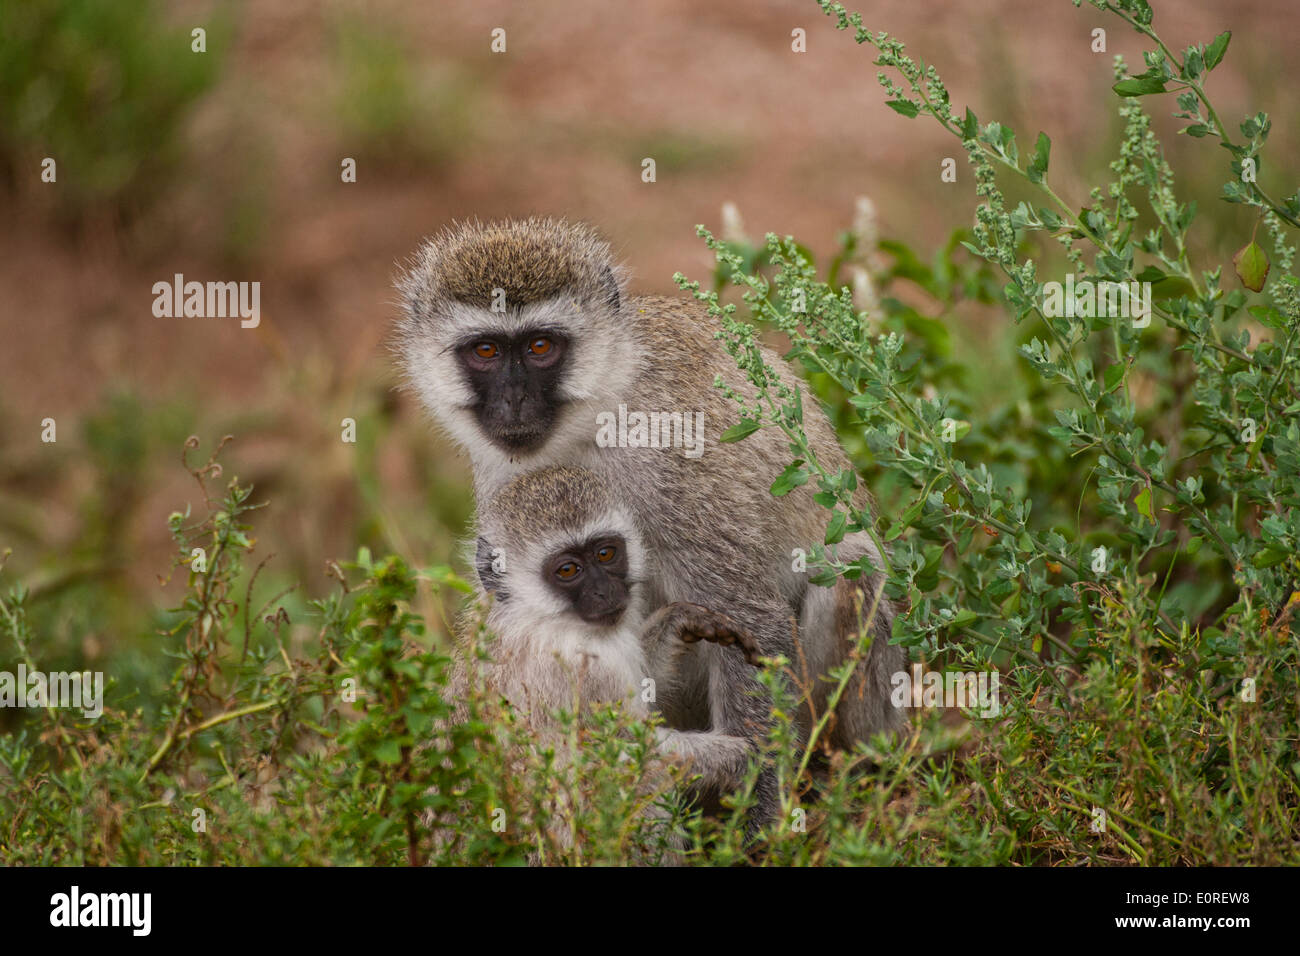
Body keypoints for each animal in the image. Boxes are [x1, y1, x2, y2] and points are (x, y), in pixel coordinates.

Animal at [397, 217, 907, 827]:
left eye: (541, 347)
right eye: (486, 350)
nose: (514, 402)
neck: (590, 419)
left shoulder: (669, 463)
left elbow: (751, 618)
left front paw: (758, 823)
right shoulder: (503, 475)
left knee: (850, 568)